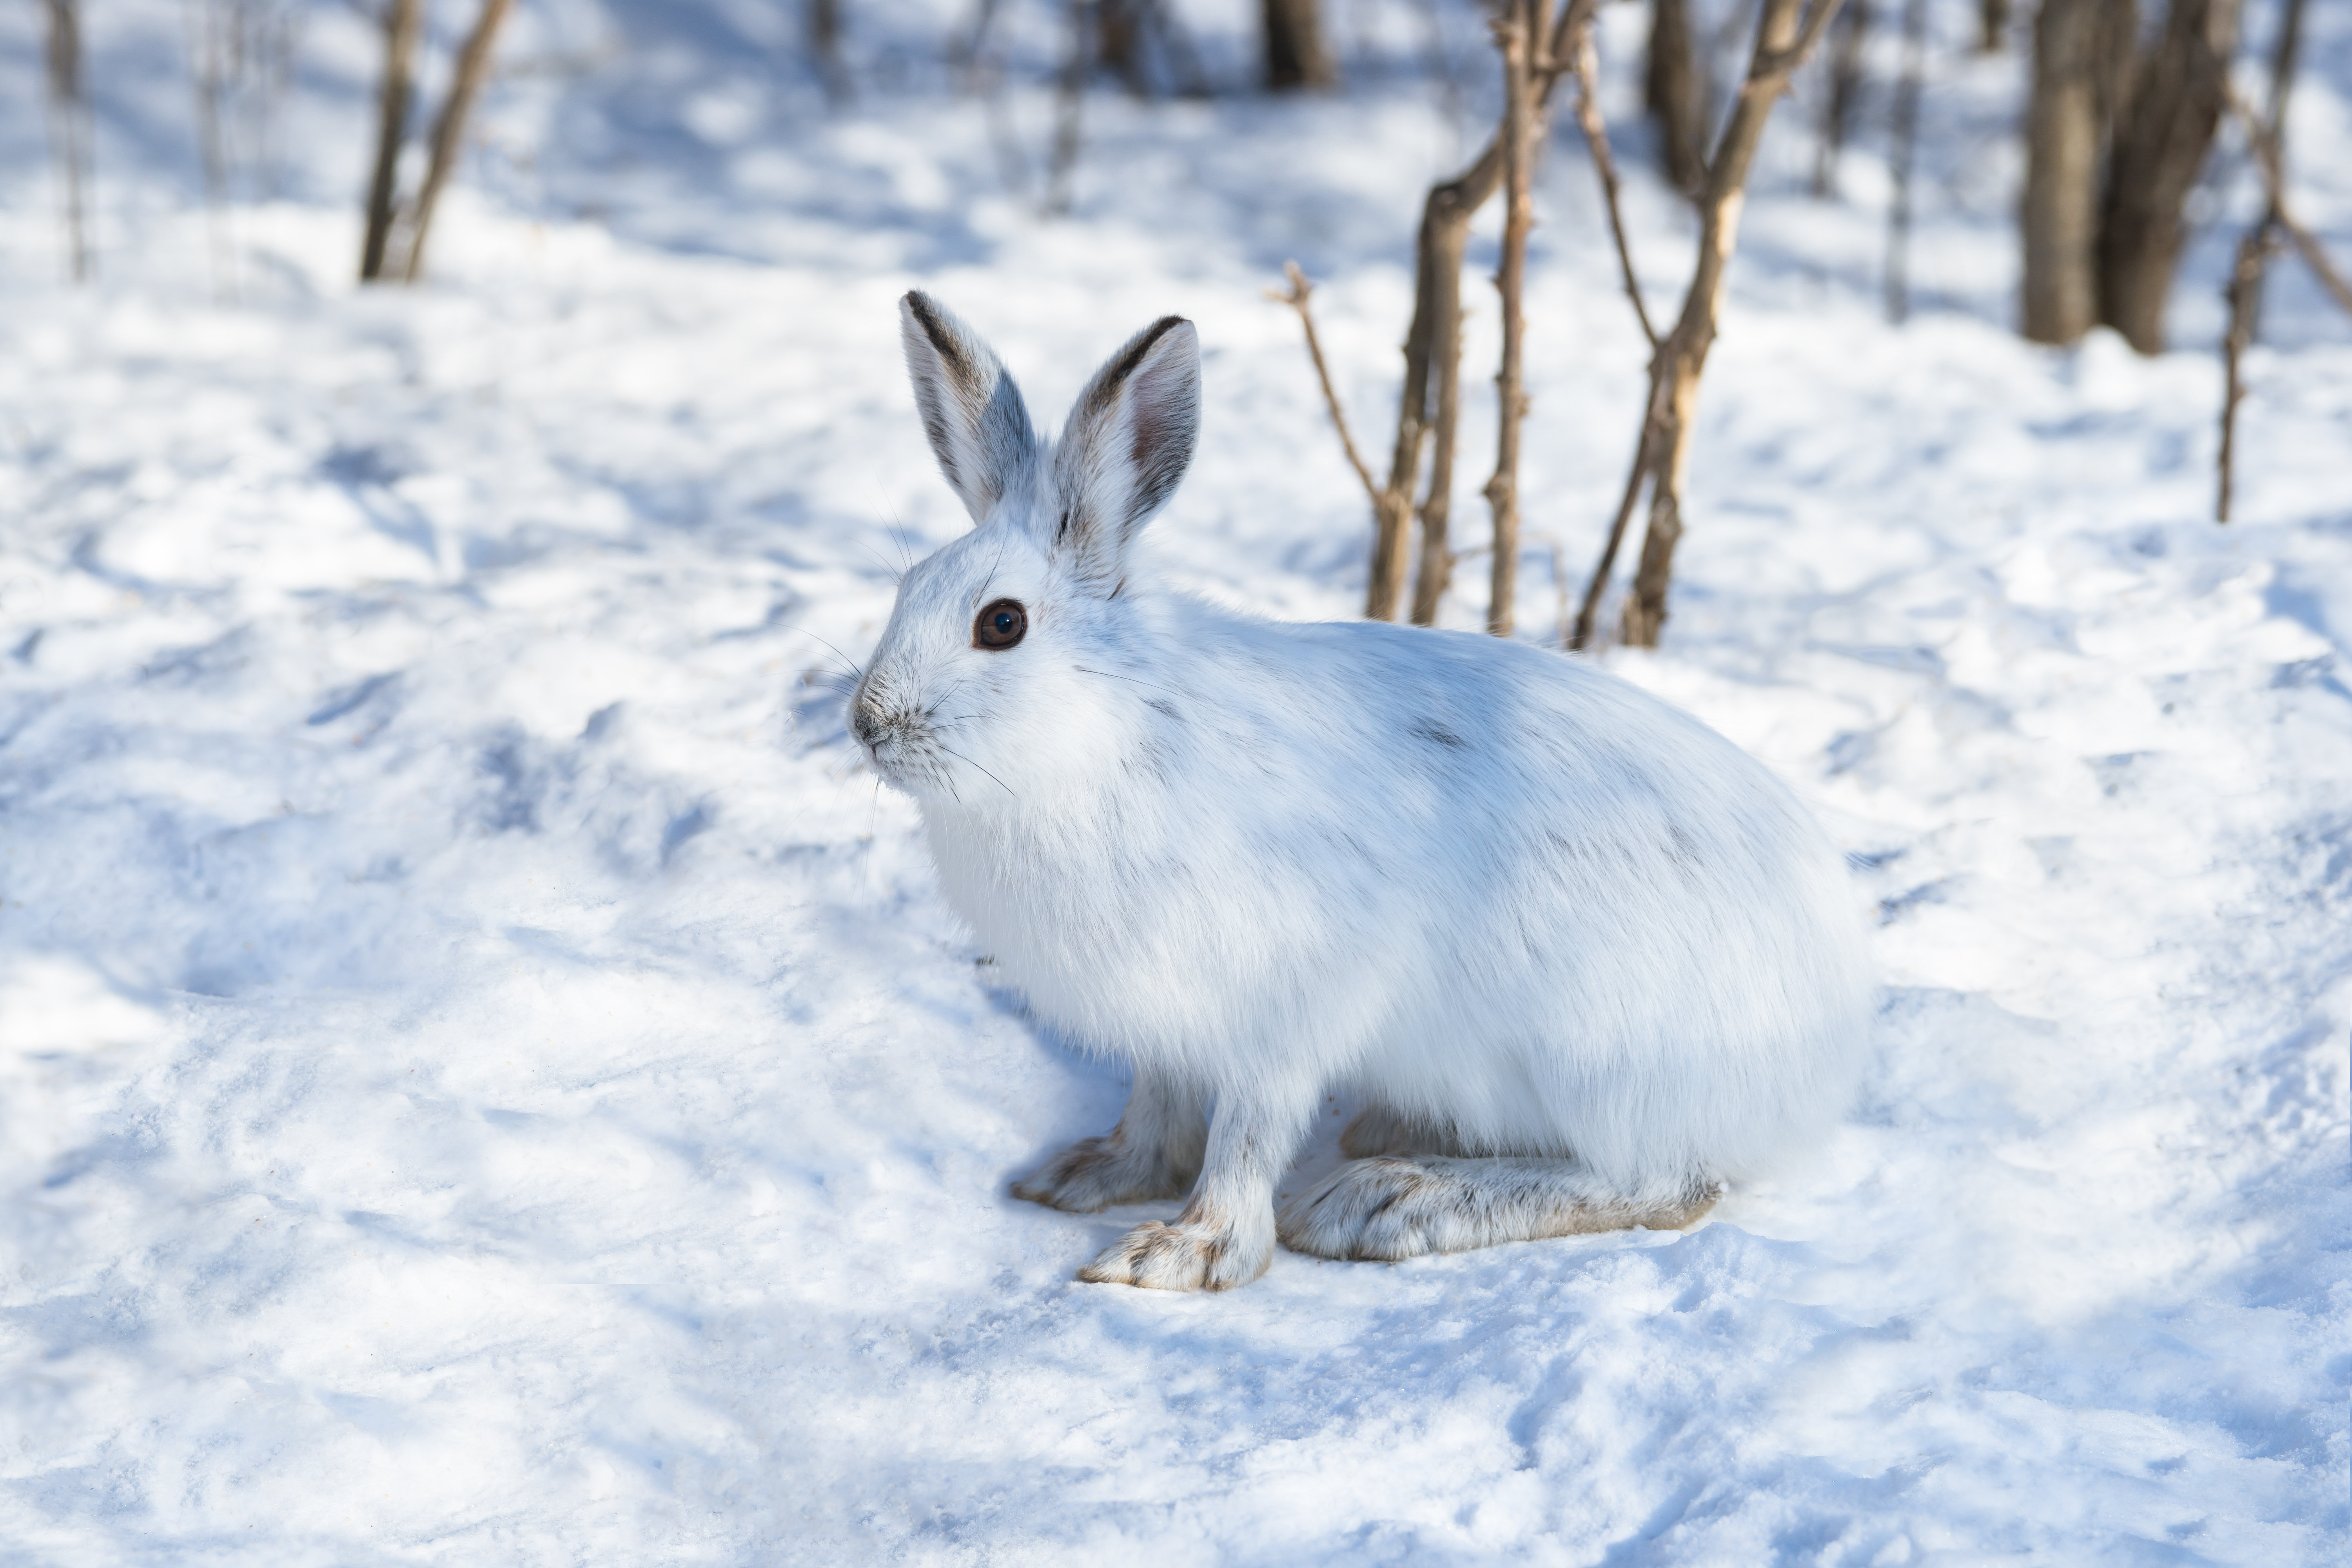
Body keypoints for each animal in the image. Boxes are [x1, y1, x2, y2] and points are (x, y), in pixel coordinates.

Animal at [848, 292, 1875, 1292]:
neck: (1112, 726)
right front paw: (1089, 1173)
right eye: (904, 589)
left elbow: (1248, 1135)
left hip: (1598, 1049)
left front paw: (1182, 1252)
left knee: (1668, 1181)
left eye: (1002, 623)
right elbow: (1158, 1108)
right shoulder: (1168, 1028)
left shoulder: (1283, 1009)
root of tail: (1820, 1047)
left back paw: (1391, 1199)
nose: (867, 725)